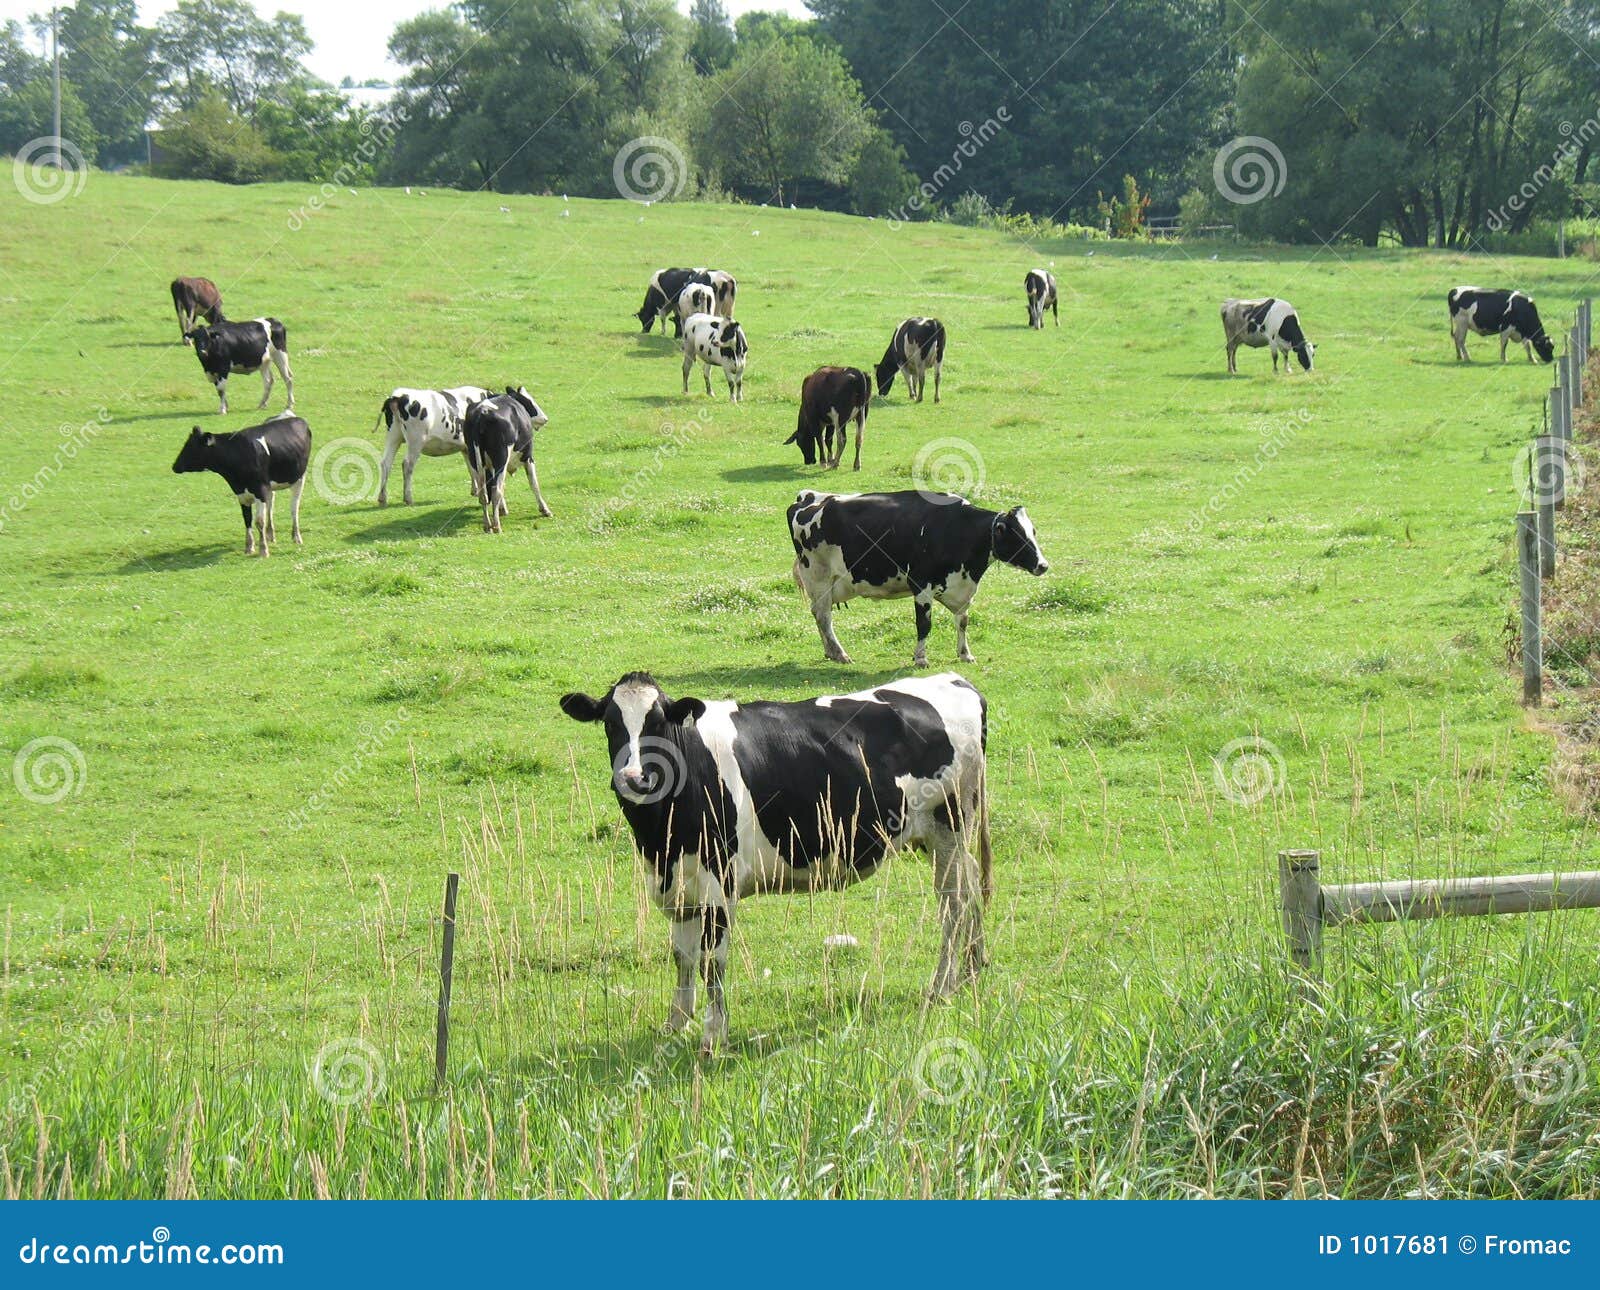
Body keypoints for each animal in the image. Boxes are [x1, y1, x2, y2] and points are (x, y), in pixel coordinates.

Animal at [170, 415, 310, 557]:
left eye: (191, 447)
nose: (175, 466)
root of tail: (294, 418)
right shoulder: (241, 493)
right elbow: (247, 519)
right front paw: (249, 547)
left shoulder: (260, 490)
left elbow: (259, 521)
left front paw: (263, 549)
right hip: (271, 487)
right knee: (271, 505)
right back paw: (270, 535)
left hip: (299, 477)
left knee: (294, 507)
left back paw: (296, 536)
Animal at [462, 387, 552, 533]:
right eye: (529, 401)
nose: (545, 418)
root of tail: (482, 412)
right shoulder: (528, 456)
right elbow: (534, 483)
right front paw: (545, 510)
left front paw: (502, 509)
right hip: (501, 458)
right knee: (496, 490)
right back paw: (496, 526)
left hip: (475, 460)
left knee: (483, 492)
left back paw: (487, 525)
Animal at [558, 670, 992, 1052]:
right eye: (610, 724)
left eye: (659, 723)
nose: (635, 778)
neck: (659, 841)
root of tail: (956, 681)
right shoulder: (679, 888)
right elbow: (682, 957)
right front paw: (676, 1022)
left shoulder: (719, 885)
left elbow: (712, 963)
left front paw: (714, 1037)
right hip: (944, 839)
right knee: (970, 888)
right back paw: (971, 972)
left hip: (950, 825)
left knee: (955, 904)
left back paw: (942, 986)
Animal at [789, 489, 1048, 667]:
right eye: (1017, 535)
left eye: (1033, 532)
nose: (1043, 565)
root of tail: (808, 497)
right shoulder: (921, 584)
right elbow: (924, 624)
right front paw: (921, 658)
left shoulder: (962, 590)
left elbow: (962, 621)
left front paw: (965, 654)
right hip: (818, 576)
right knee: (824, 617)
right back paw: (840, 653)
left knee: (819, 614)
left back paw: (830, 652)